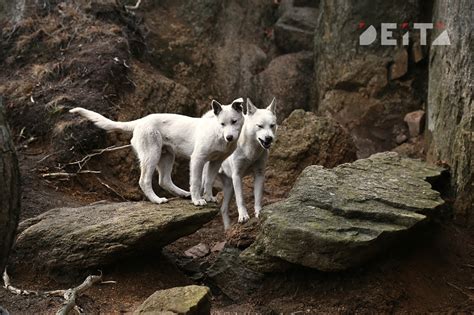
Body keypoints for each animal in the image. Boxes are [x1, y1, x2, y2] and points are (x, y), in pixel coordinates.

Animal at [70, 99, 244, 207]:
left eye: (234, 122)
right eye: (222, 124)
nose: (229, 137)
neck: (217, 134)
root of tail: (140, 121)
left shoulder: (215, 161)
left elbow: (208, 181)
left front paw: (208, 197)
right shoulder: (197, 159)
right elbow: (196, 182)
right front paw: (198, 200)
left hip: (167, 155)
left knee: (164, 180)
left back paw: (183, 194)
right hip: (151, 155)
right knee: (144, 181)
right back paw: (157, 200)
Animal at [204, 97, 278, 228]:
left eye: (272, 125)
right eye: (260, 126)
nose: (269, 138)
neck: (251, 150)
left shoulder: (259, 174)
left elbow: (258, 196)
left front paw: (259, 212)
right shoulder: (237, 176)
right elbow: (240, 199)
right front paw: (243, 216)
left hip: (229, 187)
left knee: (223, 209)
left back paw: (228, 229)